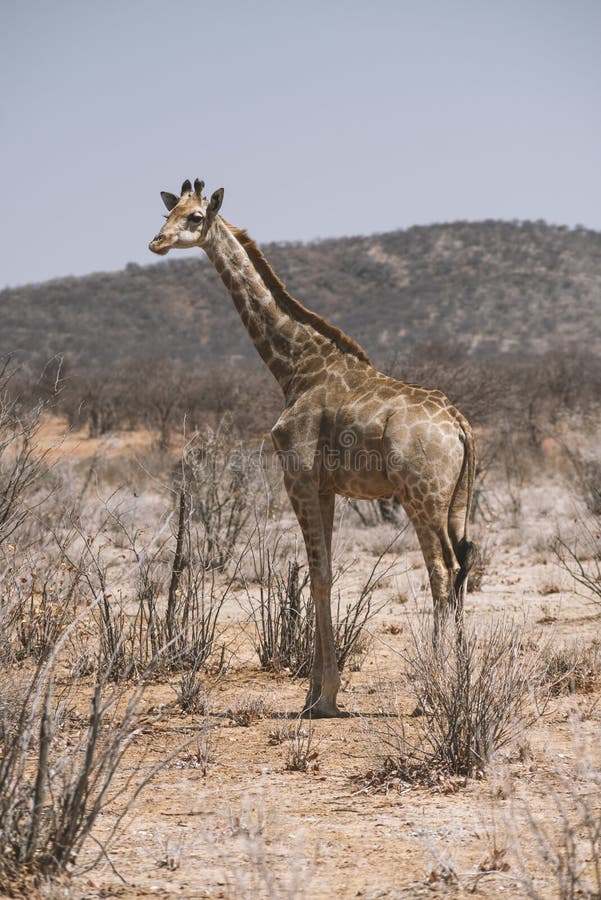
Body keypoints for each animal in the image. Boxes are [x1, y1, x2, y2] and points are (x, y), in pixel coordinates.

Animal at [149, 179, 478, 718]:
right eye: (168, 211)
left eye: (195, 217)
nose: (156, 242)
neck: (293, 368)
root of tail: (460, 426)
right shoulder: (326, 486)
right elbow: (324, 574)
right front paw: (315, 694)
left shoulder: (298, 476)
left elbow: (318, 574)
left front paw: (324, 696)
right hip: (457, 499)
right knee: (464, 566)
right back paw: (462, 681)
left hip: (421, 494)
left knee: (442, 570)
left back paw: (433, 691)